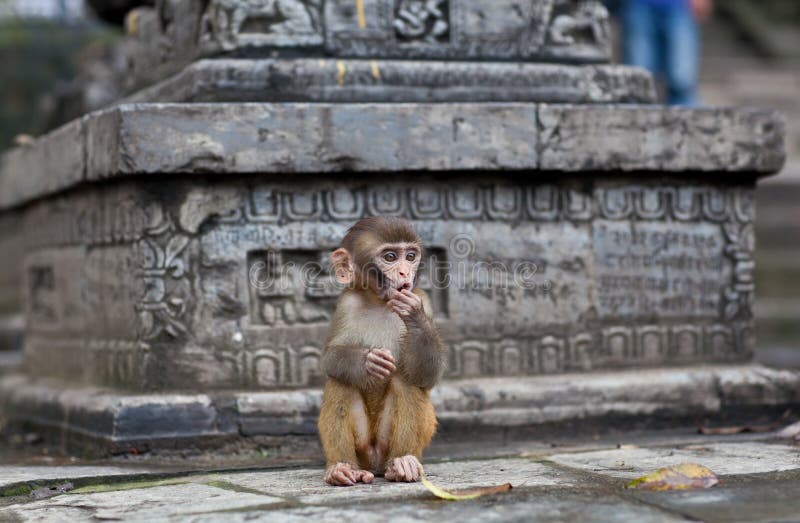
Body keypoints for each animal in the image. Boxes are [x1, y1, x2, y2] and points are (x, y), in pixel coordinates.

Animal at [317, 216, 446, 486]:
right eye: (389, 257)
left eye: (410, 256)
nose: (404, 272)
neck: (379, 302)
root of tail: (375, 464)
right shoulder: (347, 303)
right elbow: (330, 357)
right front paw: (368, 362)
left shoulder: (423, 298)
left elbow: (427, 374)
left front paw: (413, 314)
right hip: (363, 449)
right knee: (340, 380)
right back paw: (341, 468)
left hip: (387, 446)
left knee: (406, 381)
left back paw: (403, 462)